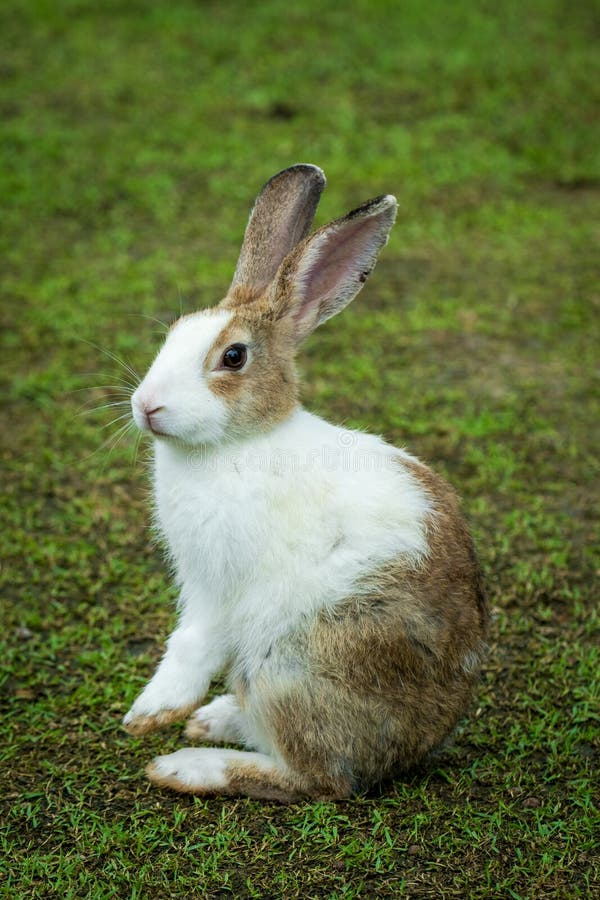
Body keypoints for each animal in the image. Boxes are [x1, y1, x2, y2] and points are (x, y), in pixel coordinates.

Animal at [122, 163, 488, 800]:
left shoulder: (219, 587)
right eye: (173, 333)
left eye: (233, 357)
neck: (239, 443)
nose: (148, 407)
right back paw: (217, 719)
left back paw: (189, 763)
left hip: (289, 657)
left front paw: (150, 712)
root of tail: (414, 746)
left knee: (317, 779)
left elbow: (190, 644)